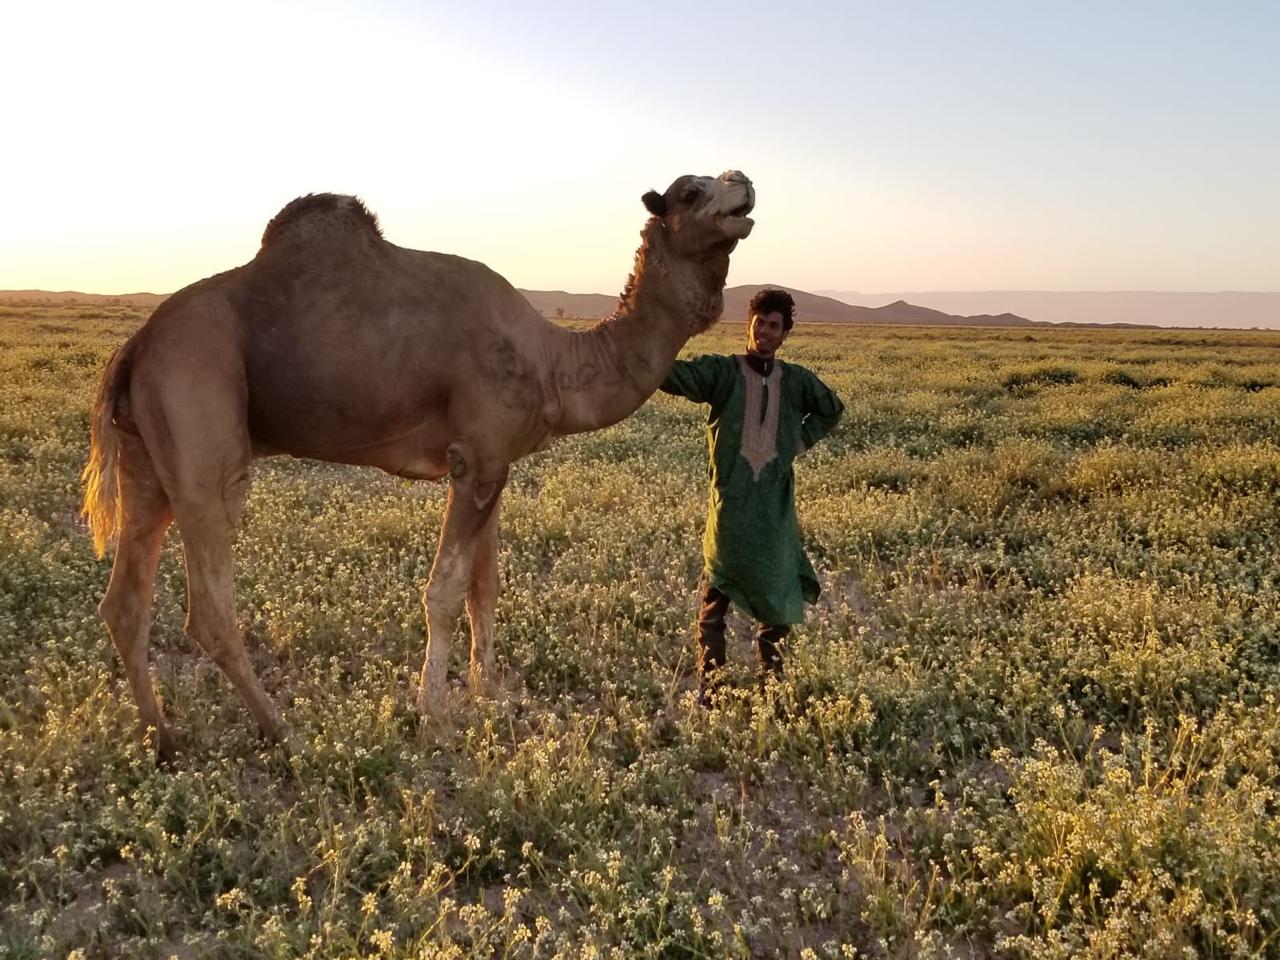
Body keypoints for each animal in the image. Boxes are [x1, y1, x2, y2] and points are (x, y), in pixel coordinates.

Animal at [82, 170, 755, 761]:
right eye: (690, 192)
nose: (744, 183)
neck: (554, 359)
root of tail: (135, 345)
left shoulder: (494, 461)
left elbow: (486, 584)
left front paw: (493, 693)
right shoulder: (474, 456)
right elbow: (445, 590)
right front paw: (437, 719)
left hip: (147, 453)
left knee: (125, 601)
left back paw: (163, 740)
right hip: (201, 412)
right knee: (208, 606)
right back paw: (283, 734)